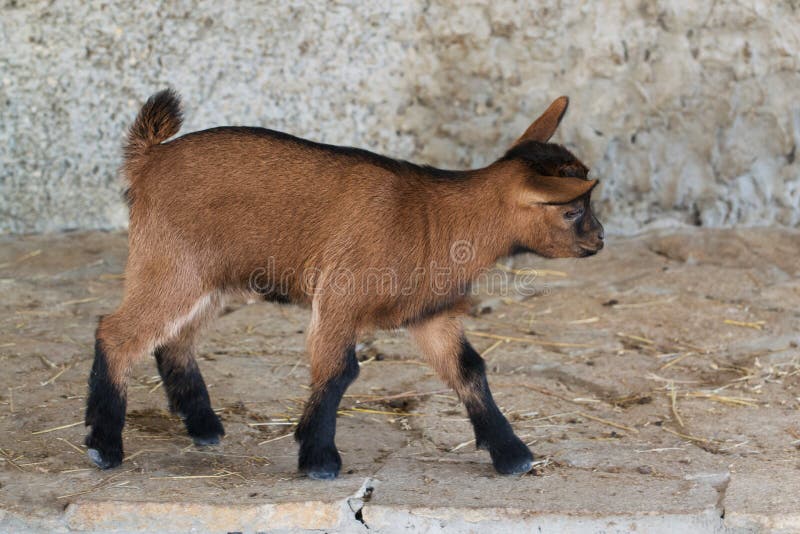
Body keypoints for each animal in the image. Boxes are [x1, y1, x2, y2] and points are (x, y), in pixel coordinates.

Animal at [85, 91, 603, 479]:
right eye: (572, 209)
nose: (599, 238)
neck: (437, 218)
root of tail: (149, 159)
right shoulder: (340, 298)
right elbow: (338, 372)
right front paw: (318, 459)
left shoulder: (431, 315)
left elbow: (469, 370)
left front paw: (512, 454)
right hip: (170, 266)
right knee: (117, 332)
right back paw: (104, 446)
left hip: (209, 280)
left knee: (173, 341)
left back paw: (204, 427)